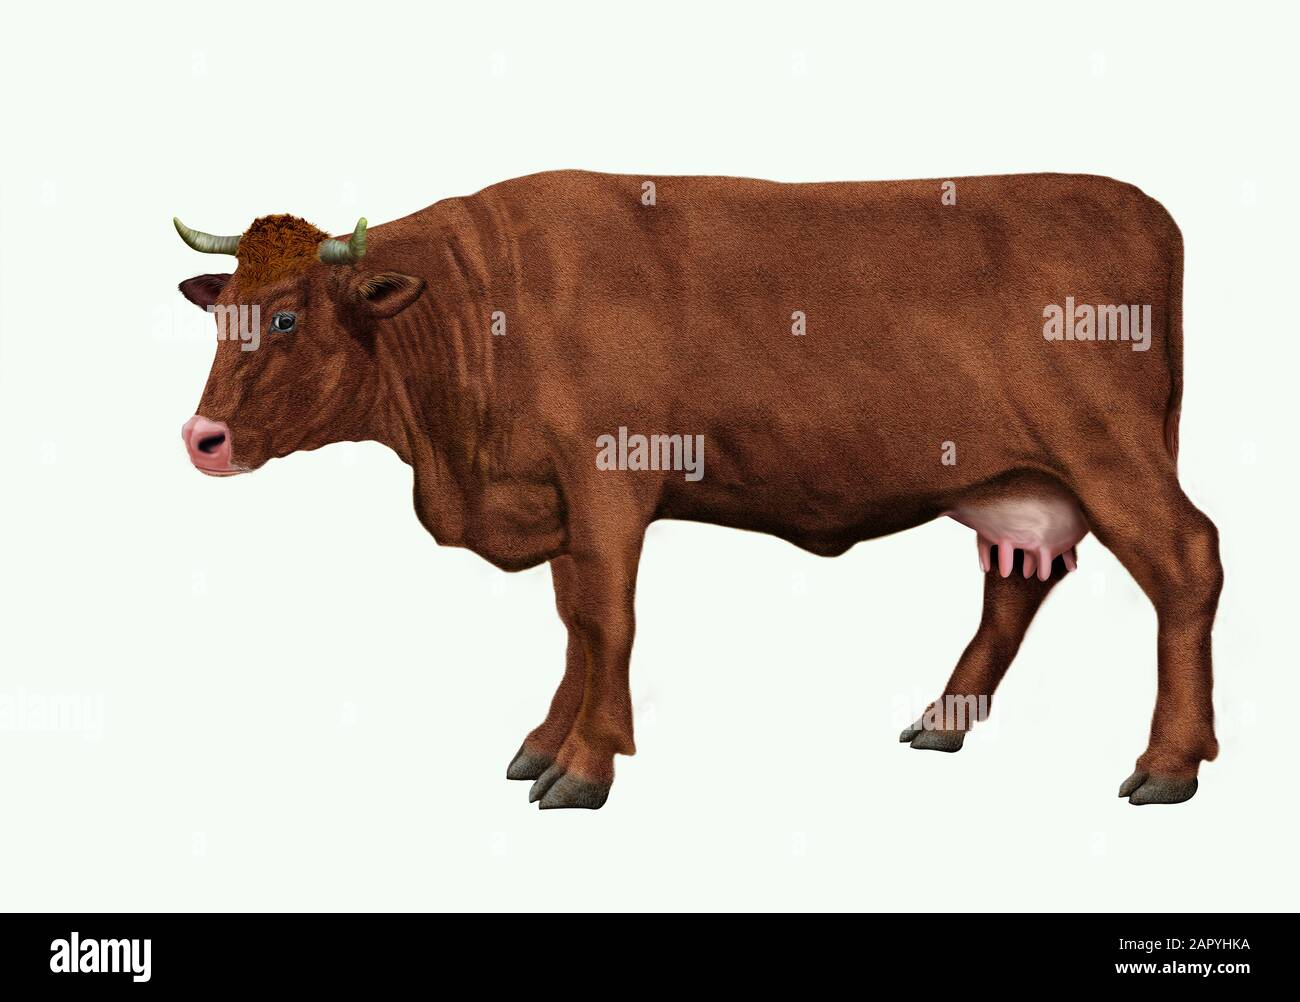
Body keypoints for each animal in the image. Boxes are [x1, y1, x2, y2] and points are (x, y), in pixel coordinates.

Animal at [175, 170, 1221, 809]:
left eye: (285, 317)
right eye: (223, 316)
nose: (201, 439)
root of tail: (1134, 204)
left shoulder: (608, 477)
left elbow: (607, 619)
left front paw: (585, 765)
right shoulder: (561, 499)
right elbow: (576, 623)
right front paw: (547, 743)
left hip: (1112, 453)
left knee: (1188, 562)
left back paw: (1168, 765)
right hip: (1019, 478)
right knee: (1015, 585)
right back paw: (941, 724)